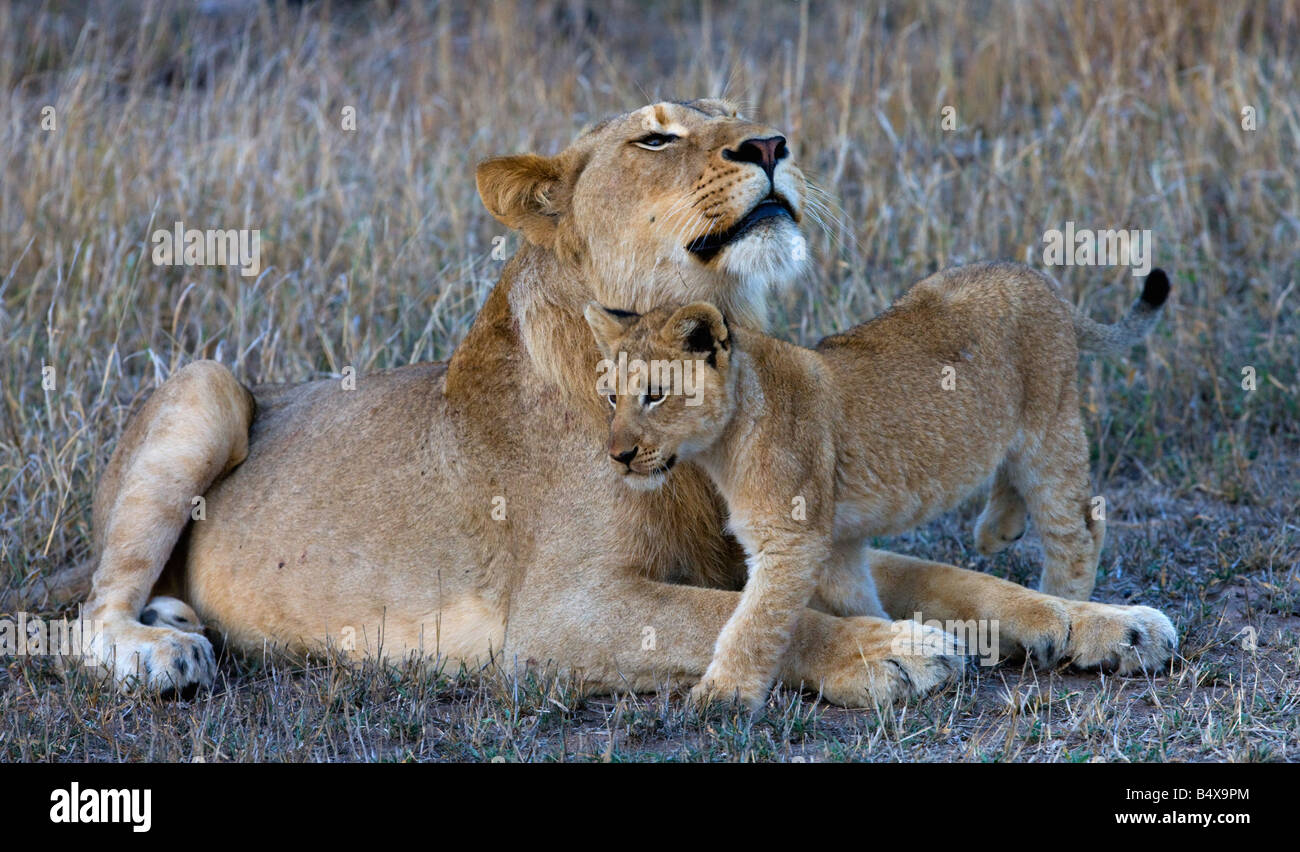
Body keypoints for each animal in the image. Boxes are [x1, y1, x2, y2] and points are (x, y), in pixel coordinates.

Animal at [583, 265, 1173, 707]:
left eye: (656, 394)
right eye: (611, 396)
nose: (618, 455)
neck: (722, 442)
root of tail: (1037, 277)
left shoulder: (791, 539)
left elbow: (752, 622)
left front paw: (721, 697)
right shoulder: (835, 542)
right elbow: (852, 601)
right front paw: (894, 646)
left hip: (1049, 425)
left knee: (1079, 527)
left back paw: (1065, 606)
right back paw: (997, 531)